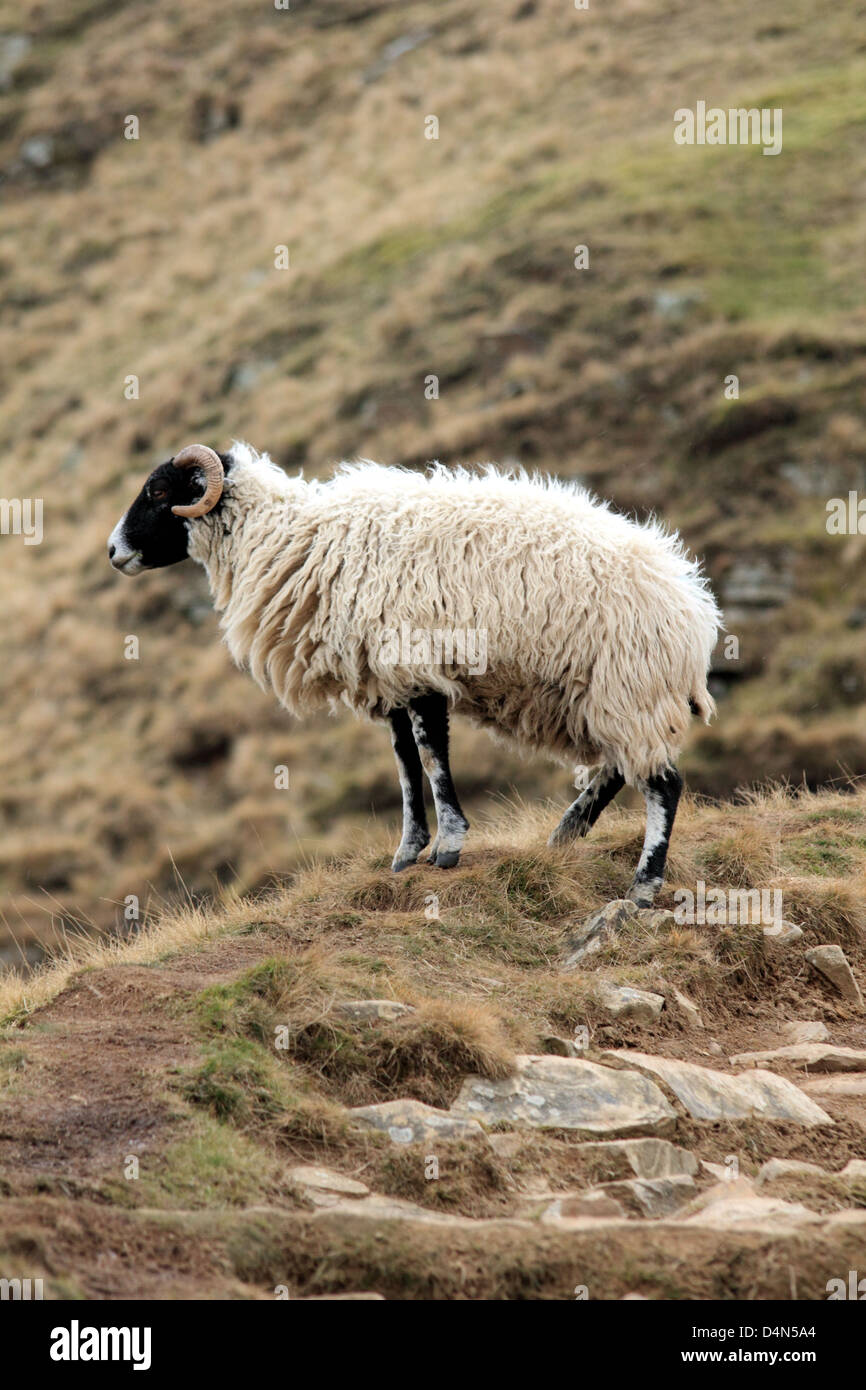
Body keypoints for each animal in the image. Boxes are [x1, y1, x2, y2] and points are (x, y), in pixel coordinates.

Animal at [108, 441, 721, 904]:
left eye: (159, 492)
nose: (113, 552)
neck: (288, 538)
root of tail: (695, 605)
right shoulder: (389, 681)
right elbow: (405, 764)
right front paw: (407, 852)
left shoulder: (418, 667)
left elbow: (432, 758)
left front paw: (449, 845)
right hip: (604, 696)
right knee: (619, 768)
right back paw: (565, 836)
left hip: (631, 686)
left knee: (663, 784)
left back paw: (643, 884)